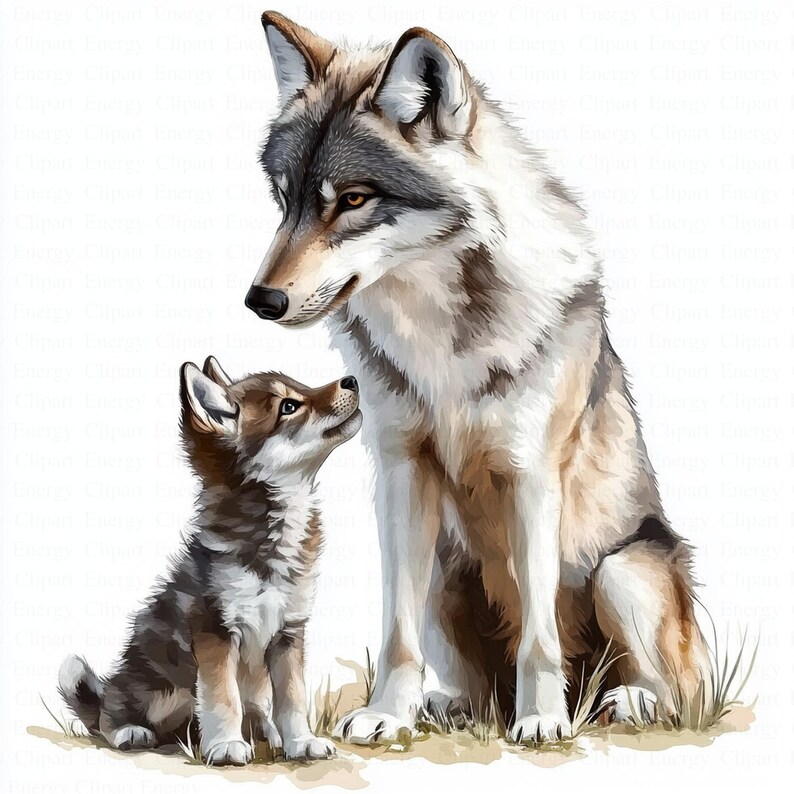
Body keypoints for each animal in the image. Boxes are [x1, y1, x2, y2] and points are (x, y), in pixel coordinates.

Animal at [59, 356, 361, 763]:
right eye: (288, 406)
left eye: (300, 389)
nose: (353, 380)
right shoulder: (214, 631)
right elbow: (223, 698)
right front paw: (226, 745)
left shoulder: (288, 634)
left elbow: (292, 699)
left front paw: (300, 741)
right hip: (159, 688)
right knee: (112, 711)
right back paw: (130, 730)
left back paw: (264, 732)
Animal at [245, 12, 711, 745]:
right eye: (284, 199)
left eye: (353, 199)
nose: (261, 300)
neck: (435, 337)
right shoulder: (401, 471)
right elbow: (396, 632)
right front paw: (386, 714)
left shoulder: (531, 476)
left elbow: (540, 639)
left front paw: (543, 720)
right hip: (446, 571)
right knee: (479, 683)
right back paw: (456, 707)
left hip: (622, 570)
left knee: (672, 691)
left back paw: (617, 703)